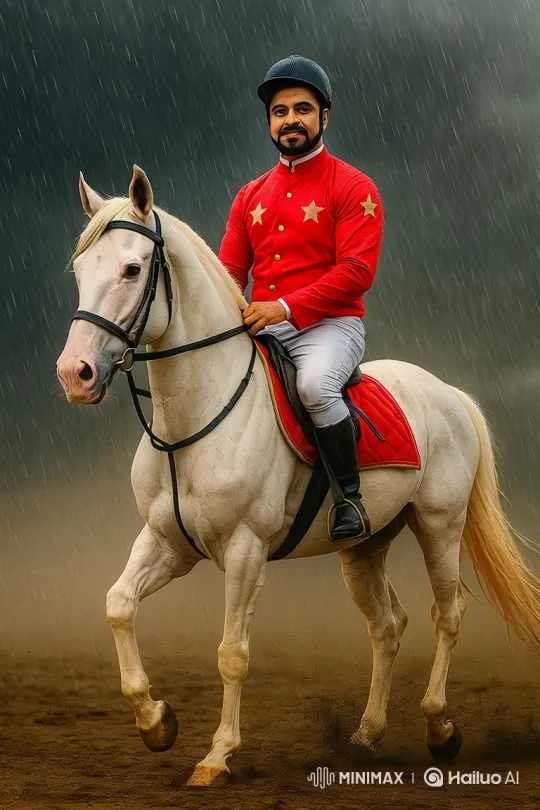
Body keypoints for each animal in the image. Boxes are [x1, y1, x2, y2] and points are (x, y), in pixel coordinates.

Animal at [56, 165, 540, 787]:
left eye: (132, 269)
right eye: (80, 270)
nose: (75, 374)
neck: (196, 417)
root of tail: (446, 391)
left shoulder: (245, 552)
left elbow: (232, 653)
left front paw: (217, 756)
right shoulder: (167, 543)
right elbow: (118, 605)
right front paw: (156, 721)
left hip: (440, 527)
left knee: (447, 614)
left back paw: (439, 727)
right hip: (363, 548)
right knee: (388, 625)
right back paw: (367, 734)